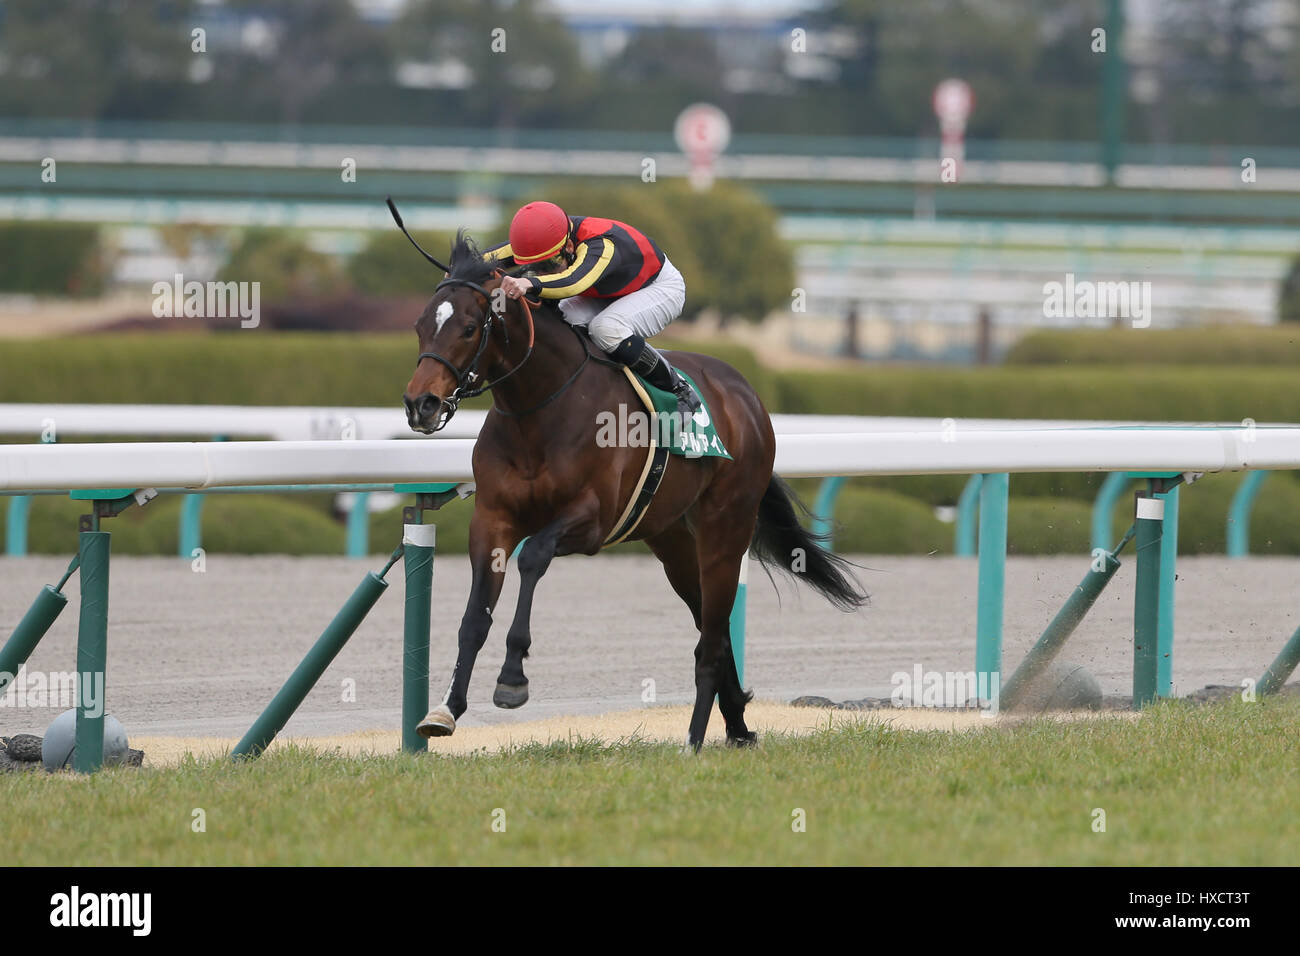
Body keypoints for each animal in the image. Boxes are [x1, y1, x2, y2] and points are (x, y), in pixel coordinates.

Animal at [400, 230, 867, 750]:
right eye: (420, 326)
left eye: (467, 328)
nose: (420, 404)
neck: (542, 411)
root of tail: (746, 395)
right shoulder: (493, 519)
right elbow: (474, 618)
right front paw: (445, 709)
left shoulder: (591, 520)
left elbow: (534, 556)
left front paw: (512, 679)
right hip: (672, 540)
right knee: (712, 626)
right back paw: (737, 725)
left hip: (725, 530)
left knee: (712, 638)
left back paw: (695, 739)